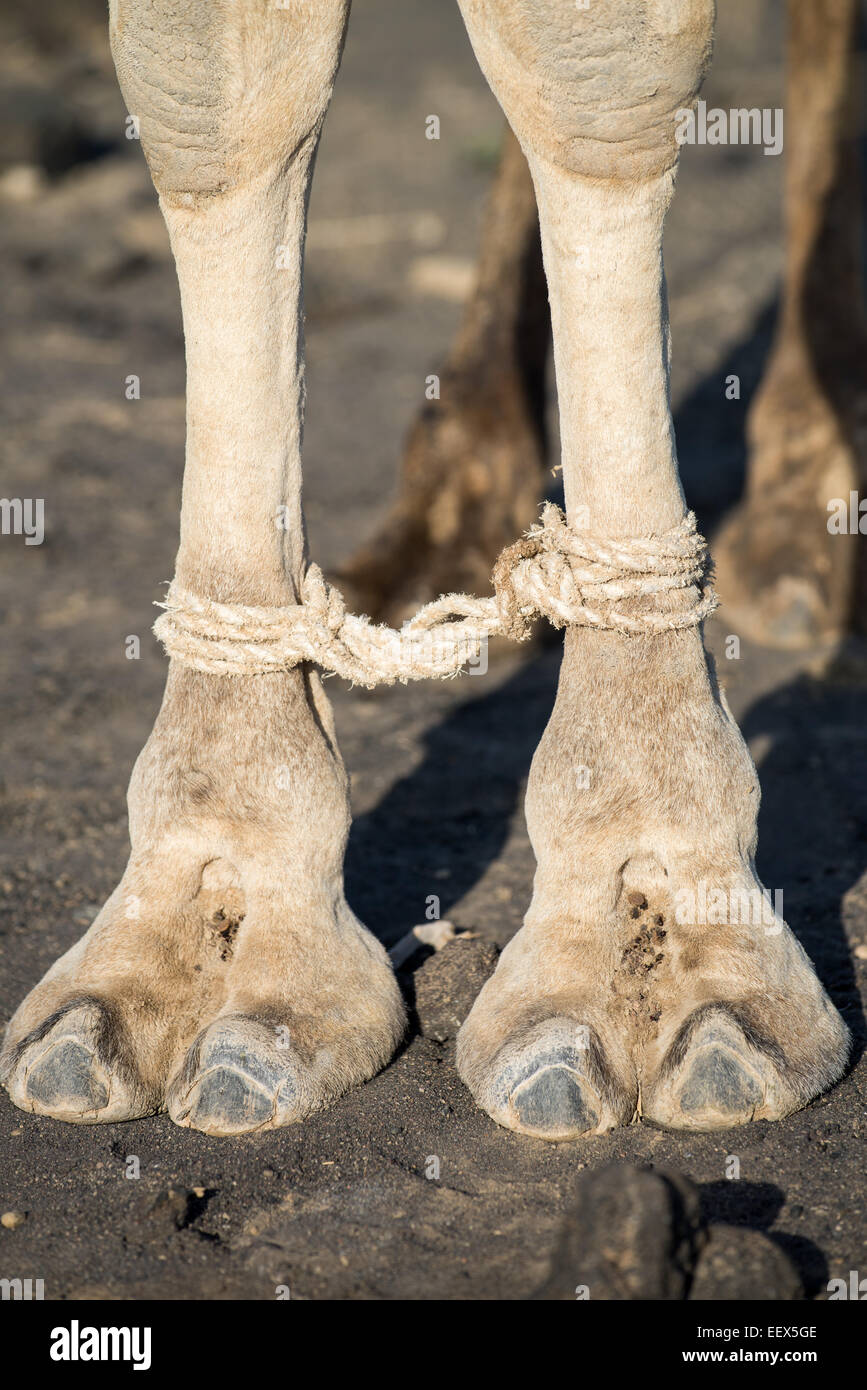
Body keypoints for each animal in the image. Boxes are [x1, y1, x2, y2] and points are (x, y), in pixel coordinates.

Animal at [1, 0, 850, 1139]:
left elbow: (592, 82)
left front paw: (662, 910)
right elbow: (213, 116)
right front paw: (200, 909)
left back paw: (805, 508)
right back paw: (451, 503)